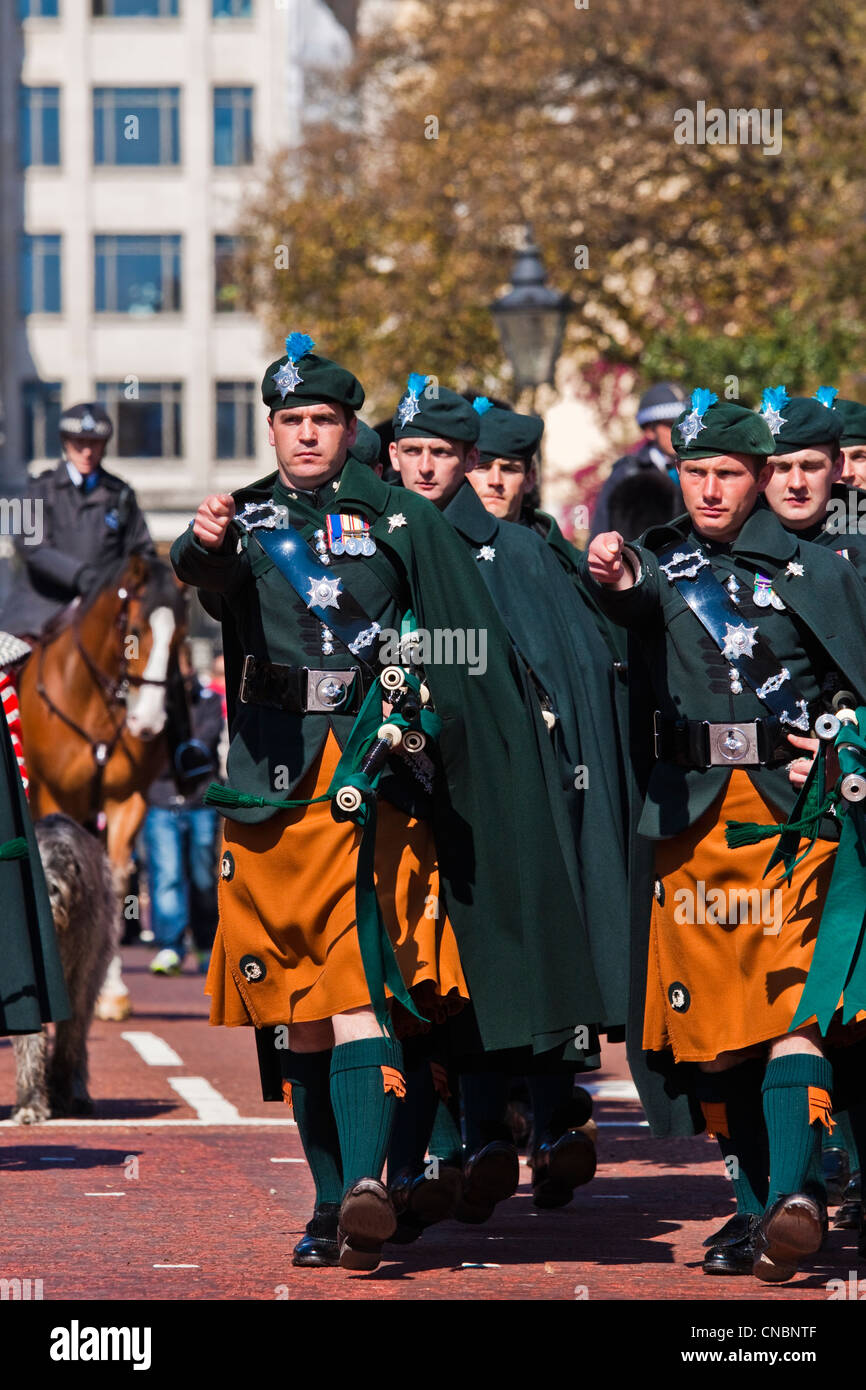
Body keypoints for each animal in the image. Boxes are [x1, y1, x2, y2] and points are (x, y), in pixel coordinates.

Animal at [11, 817, 116, 1123]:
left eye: (53, 888)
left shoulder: (81, 958)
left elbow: (71, 1031)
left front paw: (58, 1092)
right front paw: (31, 1102)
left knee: (80, 1028)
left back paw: (76, 1092)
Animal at [17, 553, 189, 1023]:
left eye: (181, 636)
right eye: (135, 630)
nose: (147, 724)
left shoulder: (125, 802)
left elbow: (115, 885)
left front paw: (112, 991)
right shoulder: (49, 794)